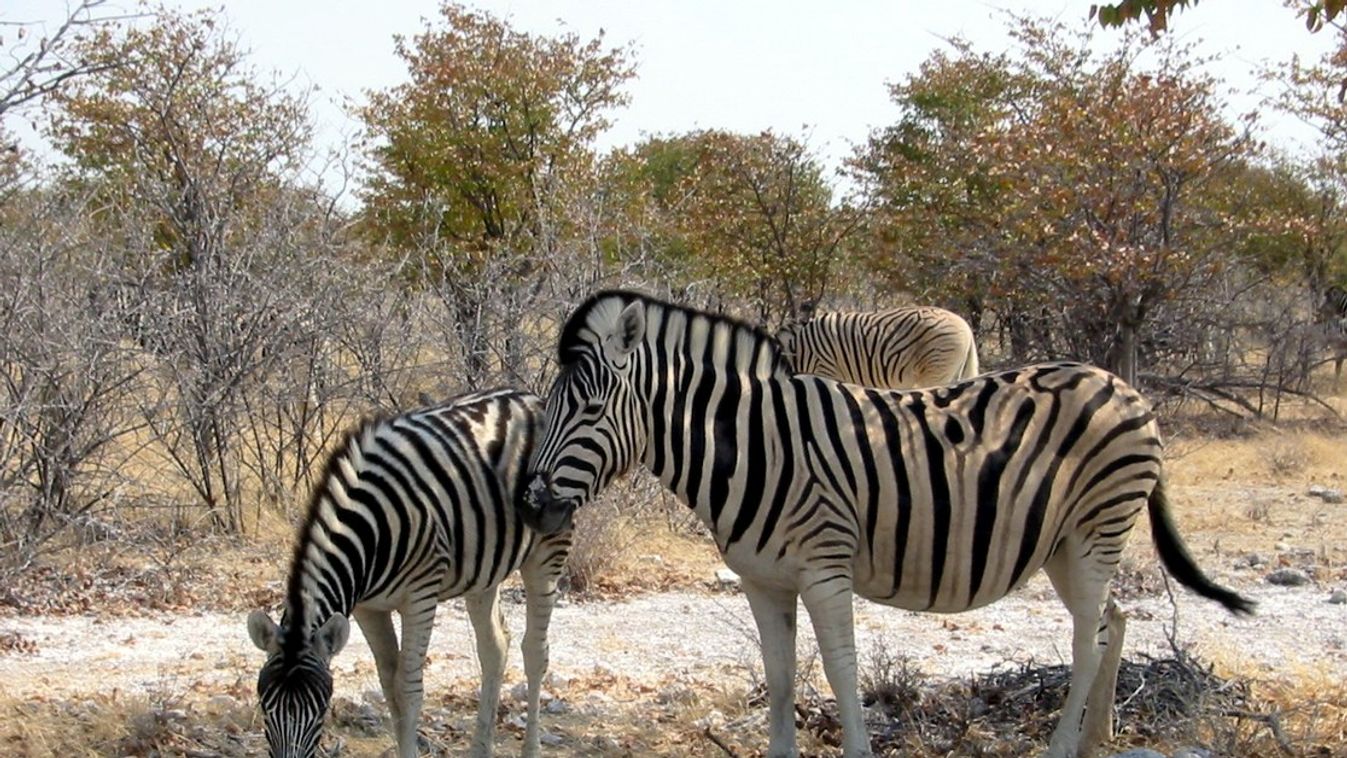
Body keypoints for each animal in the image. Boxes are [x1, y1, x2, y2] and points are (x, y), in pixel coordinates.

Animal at [247, 388, 570, 758]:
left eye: (322, 708)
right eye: (264, 706)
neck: (369, 530)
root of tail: (528, 397)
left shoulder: (420, 595)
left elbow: (408, 686)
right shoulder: (368, 608)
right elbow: (389, 683)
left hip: (548, 550)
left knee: (535, 651)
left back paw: (531, 747)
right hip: (482, 572)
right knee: (495, 647)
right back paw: (480, 748)